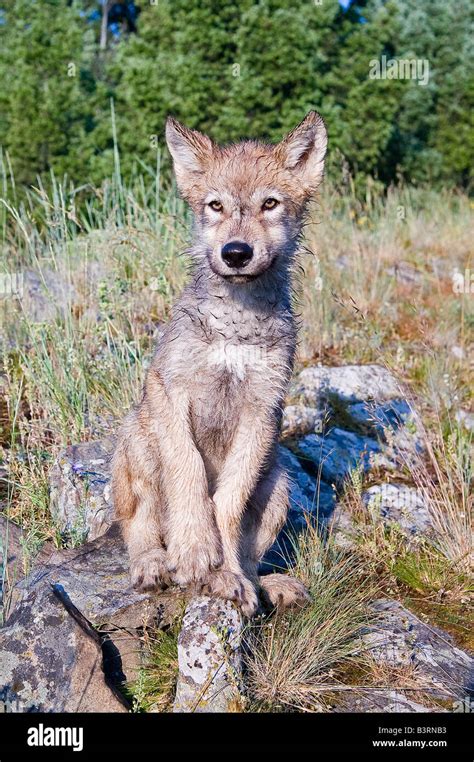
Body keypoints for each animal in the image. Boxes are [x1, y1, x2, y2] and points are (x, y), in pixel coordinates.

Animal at [111, 111, 327, 616]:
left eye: (270, 204)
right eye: (215, 205)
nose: (236, 253)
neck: (235, 325)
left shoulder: (261, 413)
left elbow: (227, 504)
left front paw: (226, 576)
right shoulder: (169, 392)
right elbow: (189, 471)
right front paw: (193, 551)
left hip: (279, 481)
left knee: (253, 554)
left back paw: (266, 583)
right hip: (138, 440)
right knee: (139, 525)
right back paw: (153, 563)